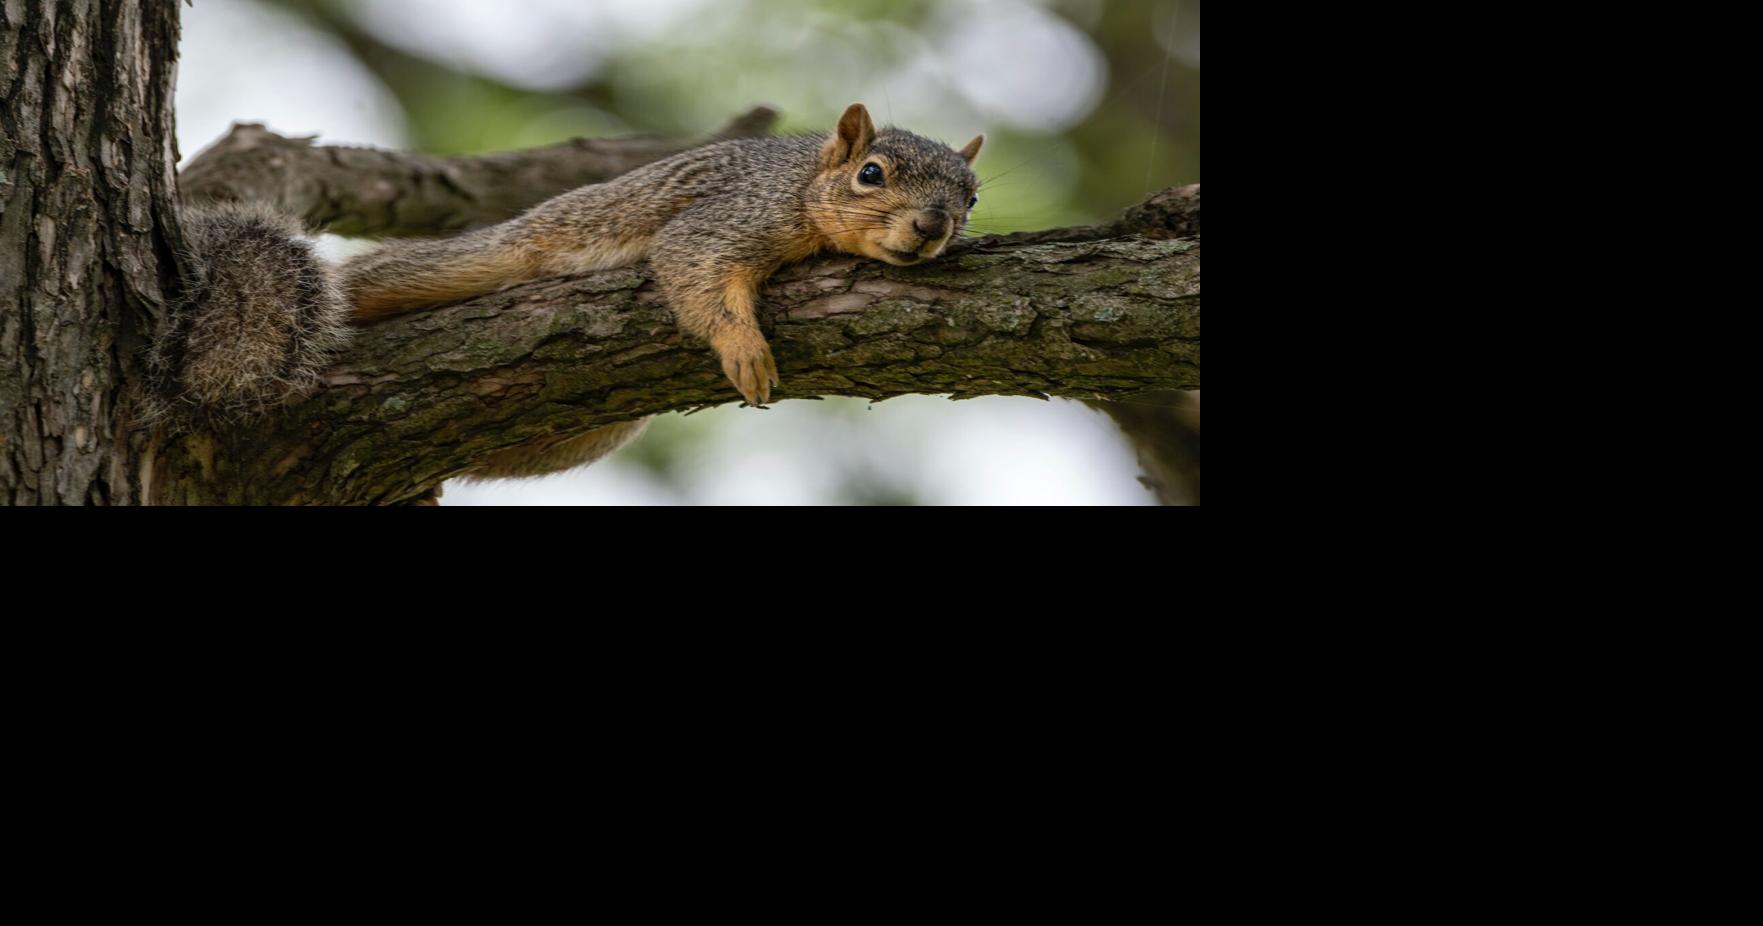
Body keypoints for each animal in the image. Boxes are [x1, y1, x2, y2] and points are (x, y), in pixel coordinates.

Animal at [152, 103, 983, 484]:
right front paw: (744, 349)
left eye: (971, 197)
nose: (932, 226)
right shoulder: (730, 216)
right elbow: (694, 264)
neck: (805, 186)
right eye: (870, 174)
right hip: (487, 257)